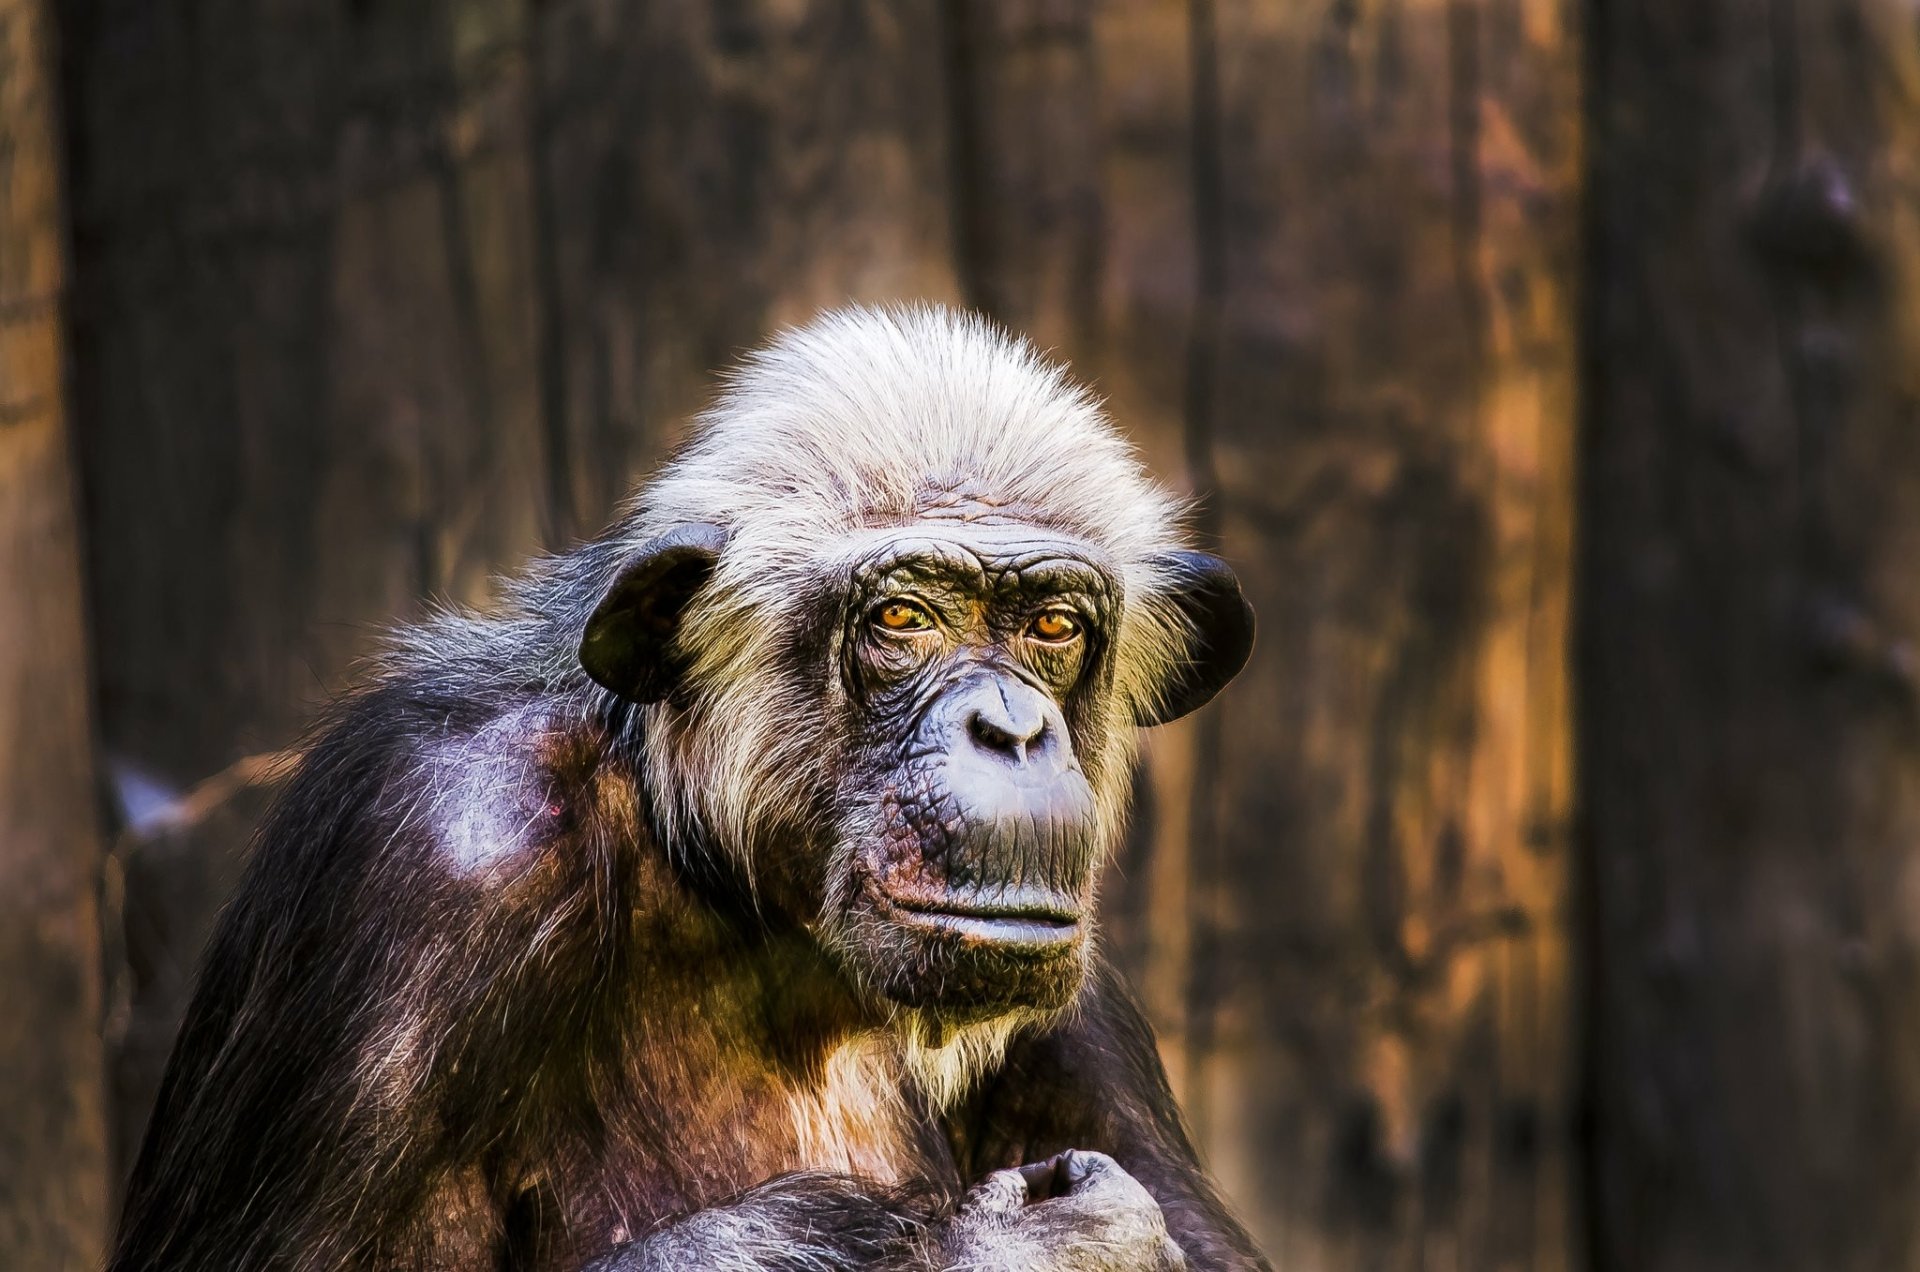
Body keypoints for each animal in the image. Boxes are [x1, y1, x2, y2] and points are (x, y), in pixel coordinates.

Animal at [108, 305, 1266, 1271]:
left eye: (1054, 627)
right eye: (903, 618)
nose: (1011, 730)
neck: (736, 892)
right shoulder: (435, 863)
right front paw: (1012, 1246)